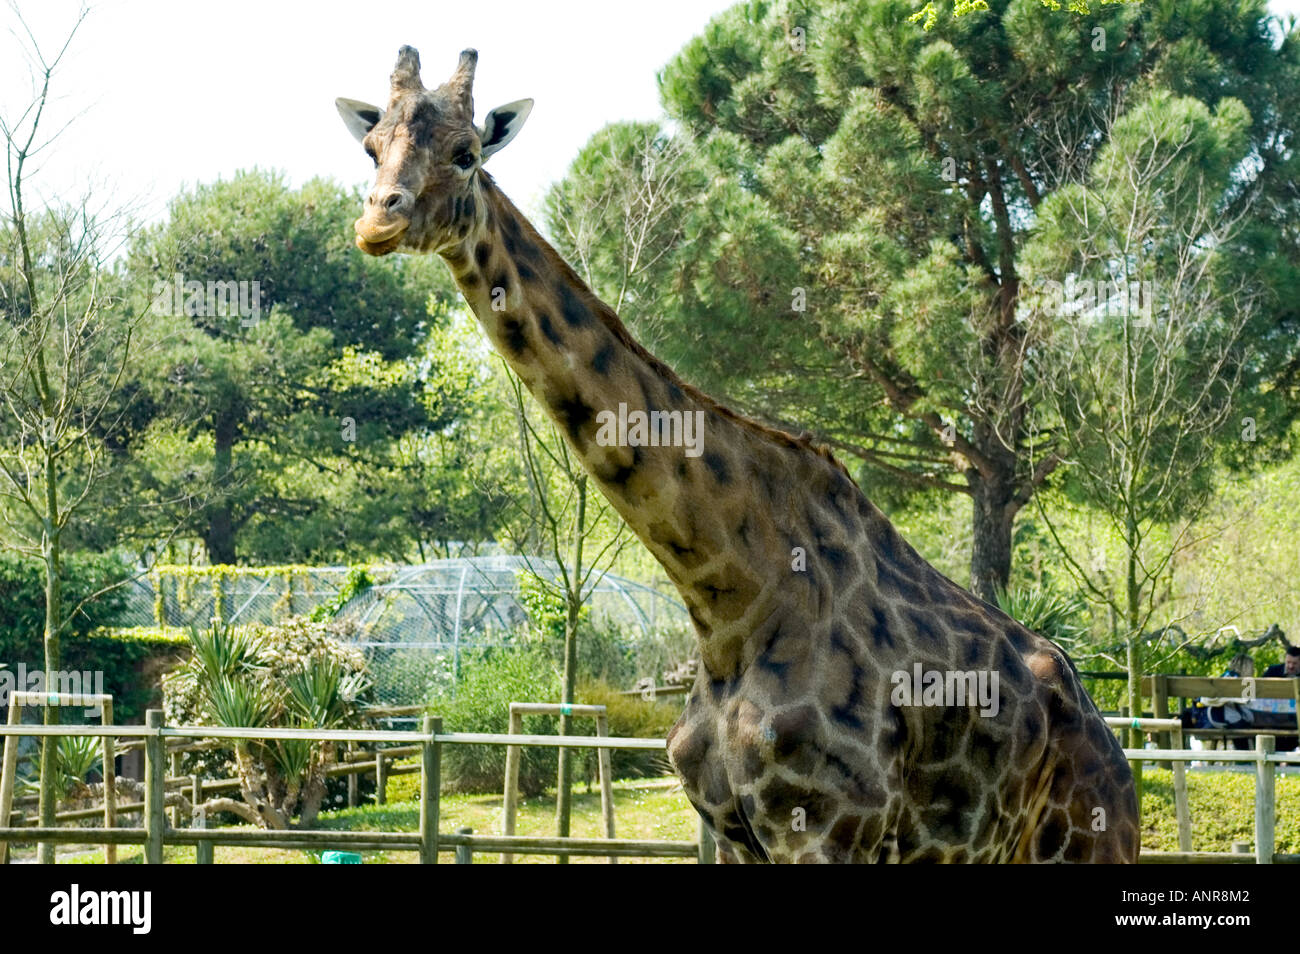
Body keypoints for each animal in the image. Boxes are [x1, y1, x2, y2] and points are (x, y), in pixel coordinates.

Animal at [335, 46, 1139, 863]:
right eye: (371, 147)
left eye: (467, 153)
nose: (378, 219)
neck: (725, 603)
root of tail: (1116, 744)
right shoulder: (725, 828)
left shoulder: (824, 829)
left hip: (1086, 841)